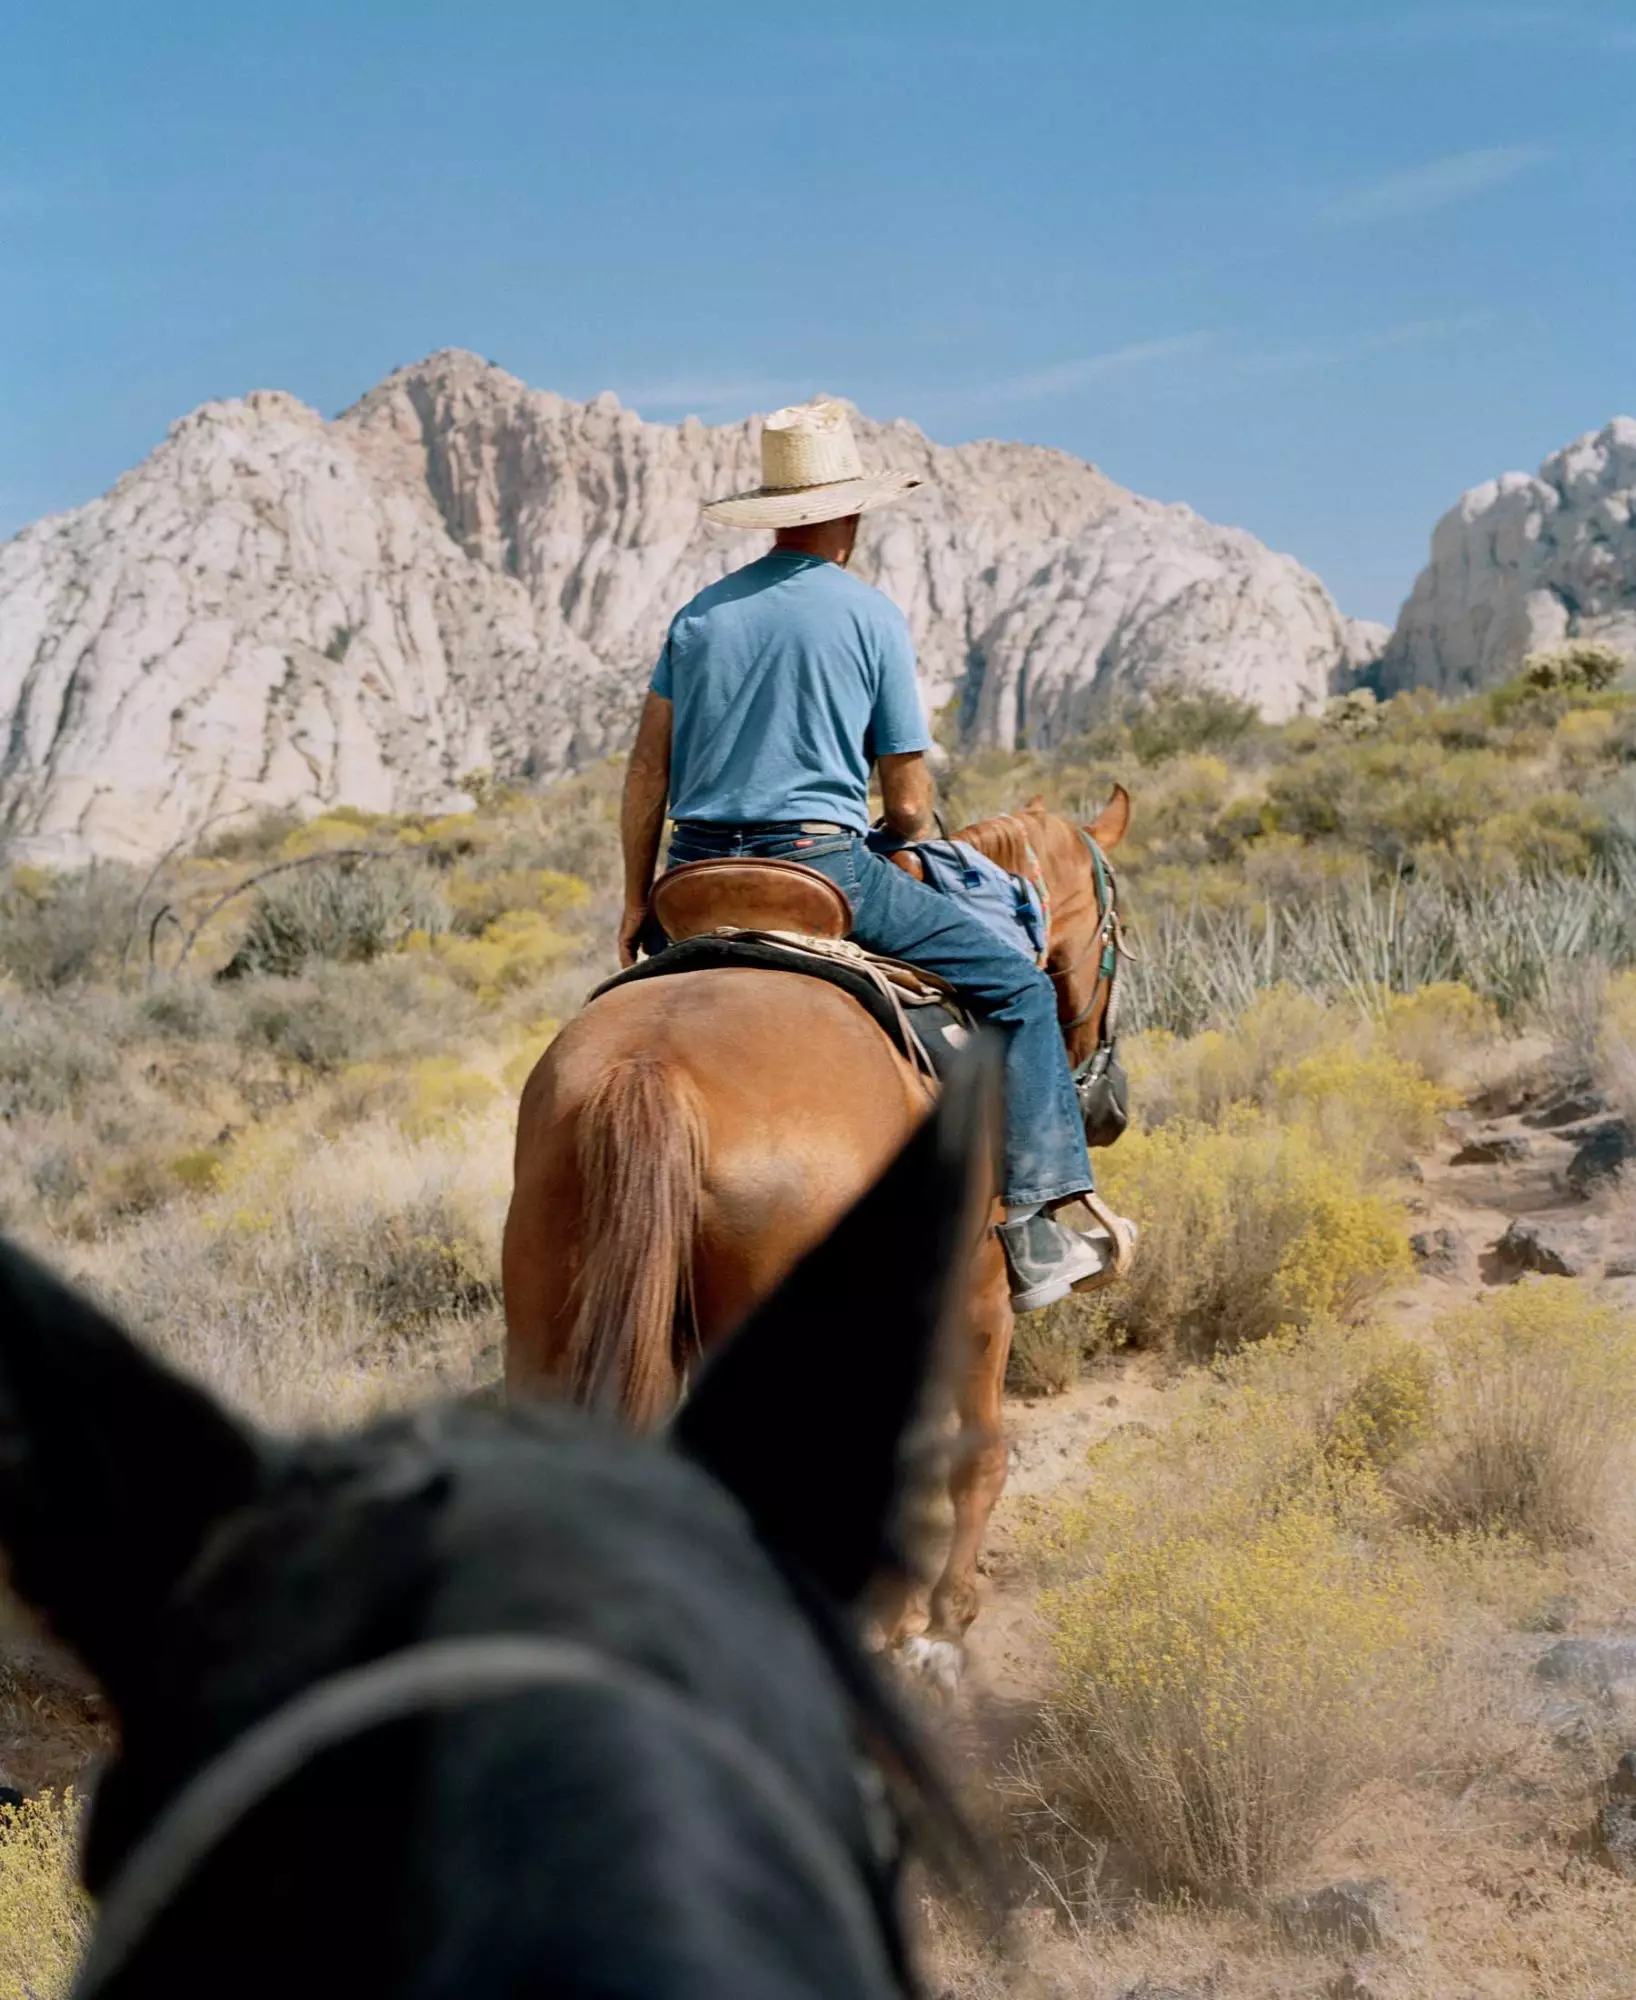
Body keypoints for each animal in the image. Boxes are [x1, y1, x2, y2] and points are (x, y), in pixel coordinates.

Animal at [504, 788, 1128, 1664]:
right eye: (1119, 925)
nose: (1111, 1106)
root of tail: (653, 1069)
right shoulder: (980, 1301)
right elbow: (973, 1454)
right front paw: (944, 1620)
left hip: (545, 1330)